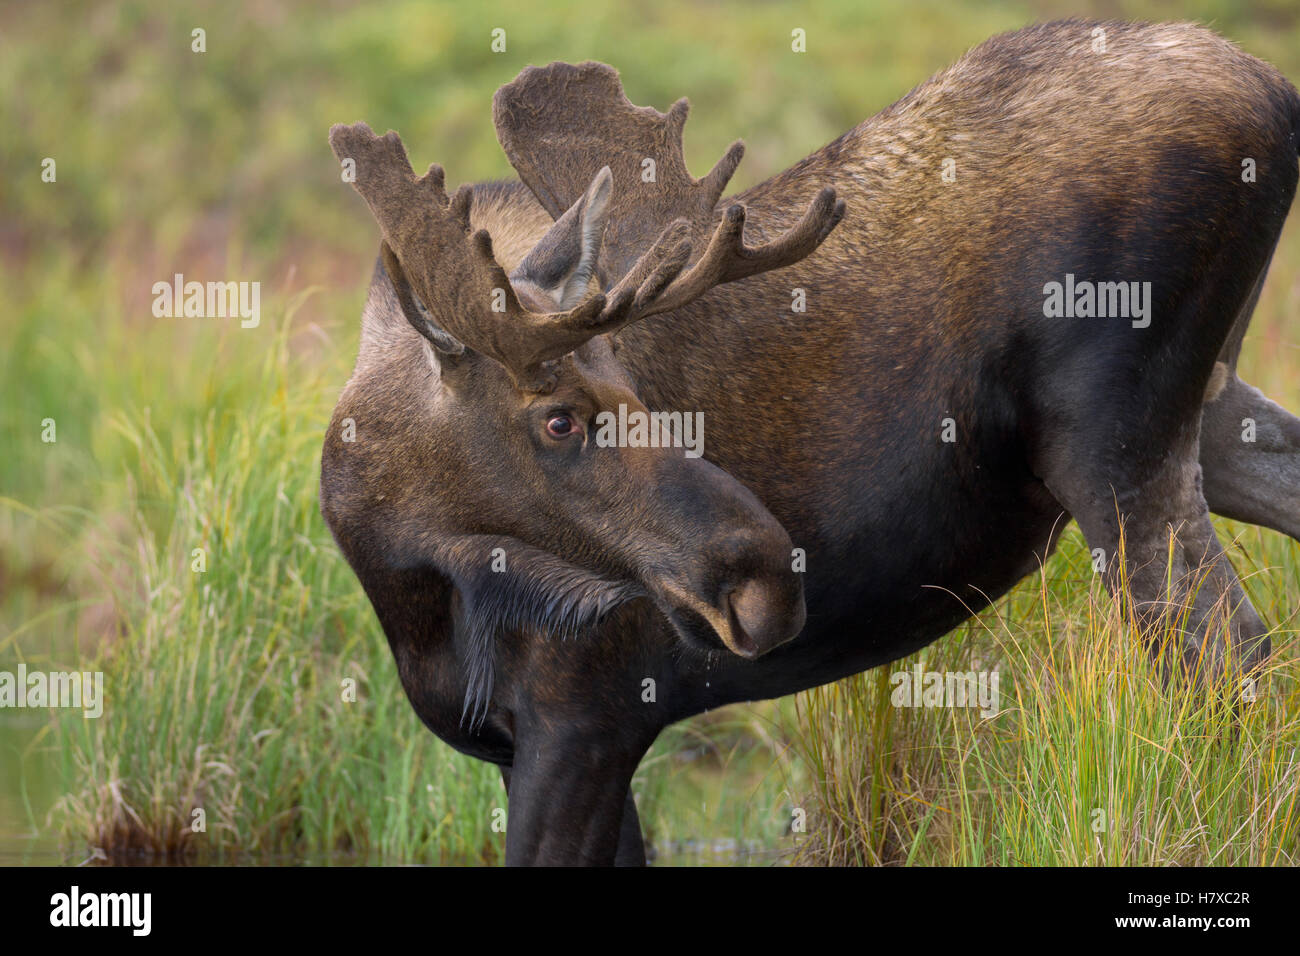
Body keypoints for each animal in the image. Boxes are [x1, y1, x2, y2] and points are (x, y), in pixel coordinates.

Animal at [320, 19, 1300, 865]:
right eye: (558, 416)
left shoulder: (585, 723)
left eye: (635, 387)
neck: (401, 574)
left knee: (1228, 649)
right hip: (1211, 408)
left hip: (1108, 438)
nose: (767, 575)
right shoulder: (534, 745)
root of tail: (1276, 92)